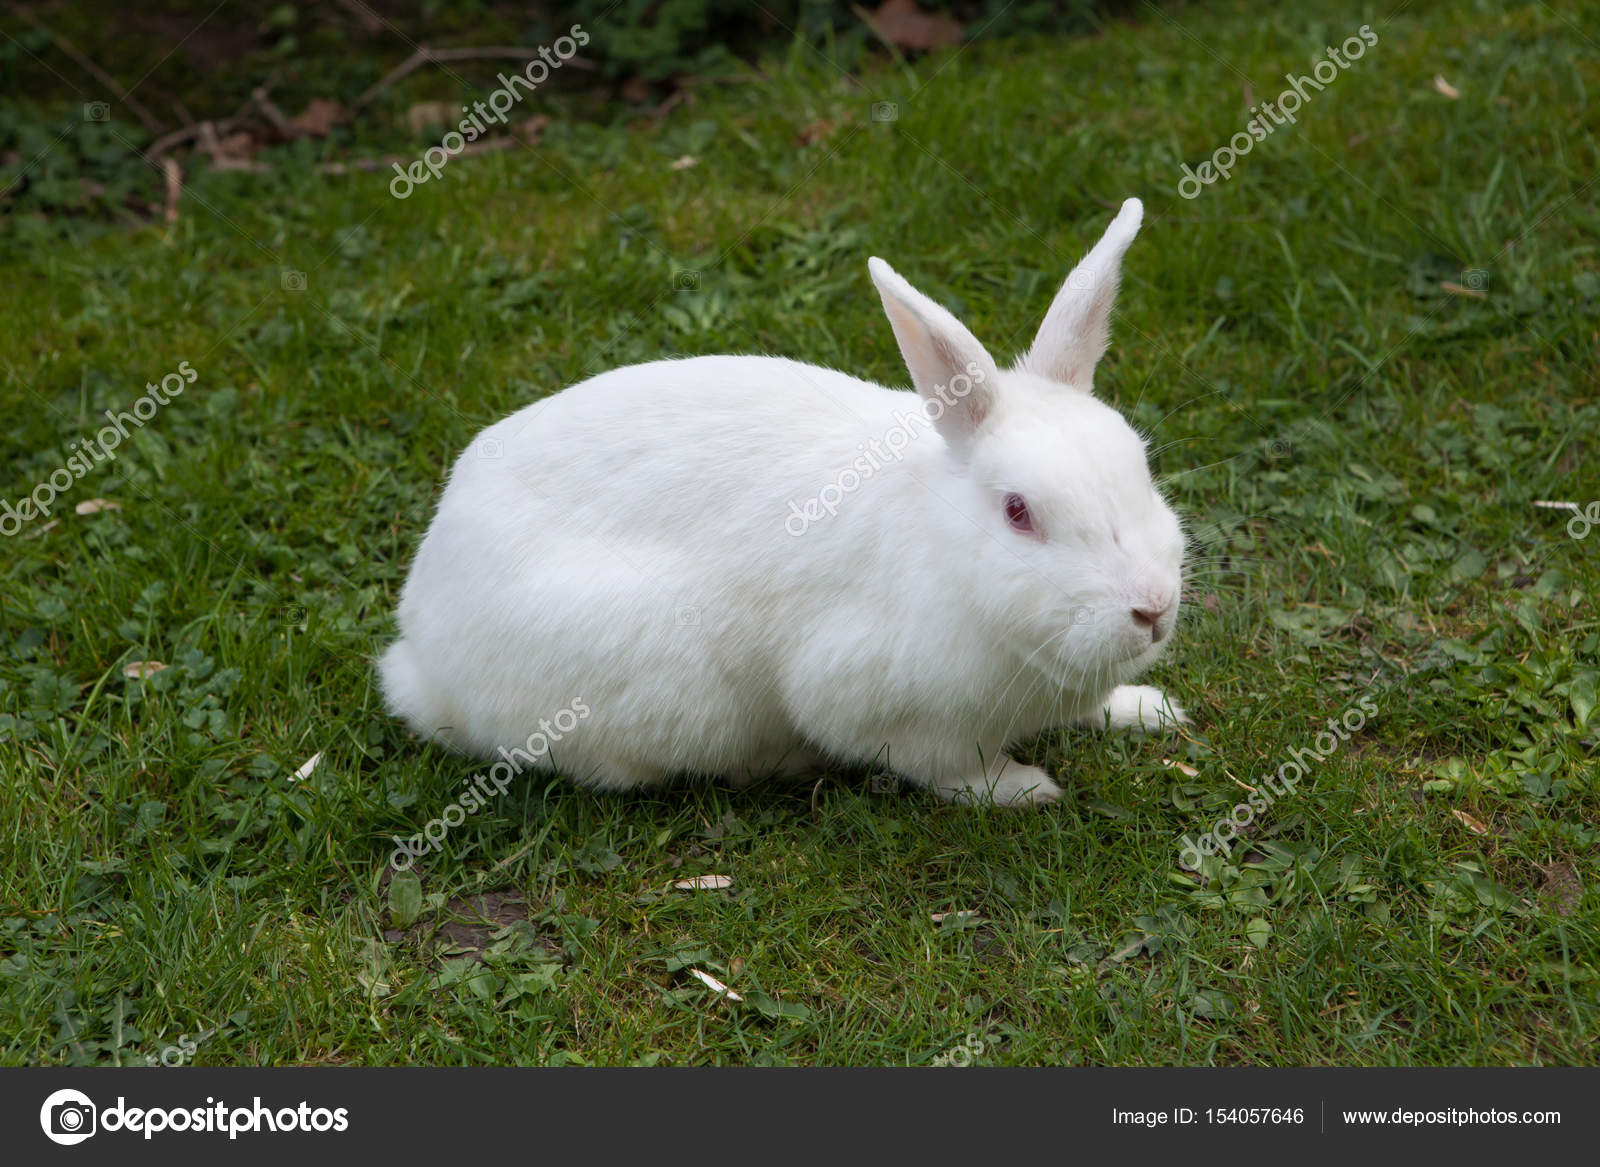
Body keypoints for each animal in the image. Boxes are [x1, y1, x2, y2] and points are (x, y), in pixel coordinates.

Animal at [380, 197, 1187, 807]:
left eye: (1140, 466)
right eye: (1019, 512)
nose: (1152, 609)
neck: (948, 556)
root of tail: (421, 653)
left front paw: (1149, 711)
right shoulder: (881, 705)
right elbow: (947, 767)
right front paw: (1024, 788)